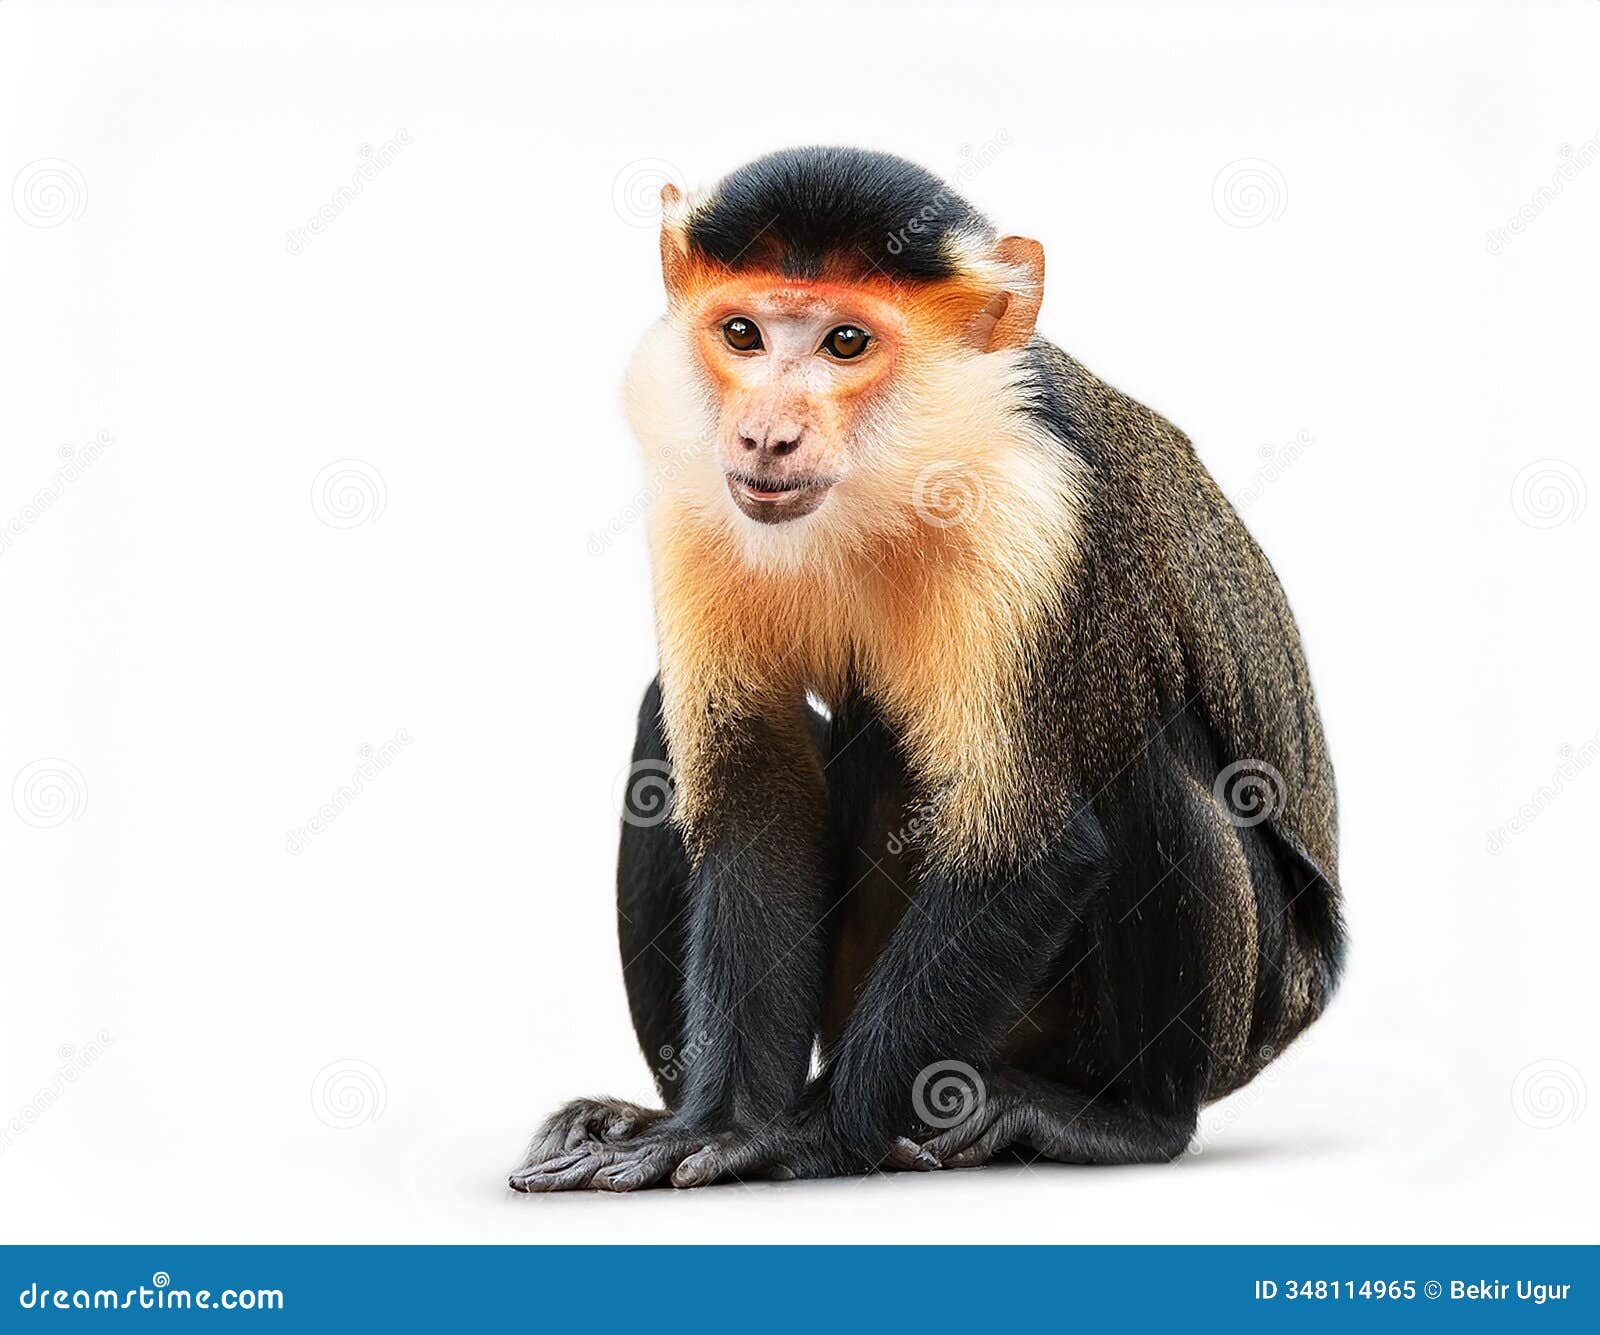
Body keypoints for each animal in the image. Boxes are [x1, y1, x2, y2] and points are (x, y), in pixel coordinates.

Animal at [509, 146, 1344, 1192]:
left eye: (845, 342)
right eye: (742, 334)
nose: (766, 434)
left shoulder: (1036, 511)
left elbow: (1031, 847)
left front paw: (798, 1138)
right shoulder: (697, 489)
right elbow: (753, 803)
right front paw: (722, 1120)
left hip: (1248, 1011)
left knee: (1146, 762)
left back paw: (1122, 1119)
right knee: (665, 731)